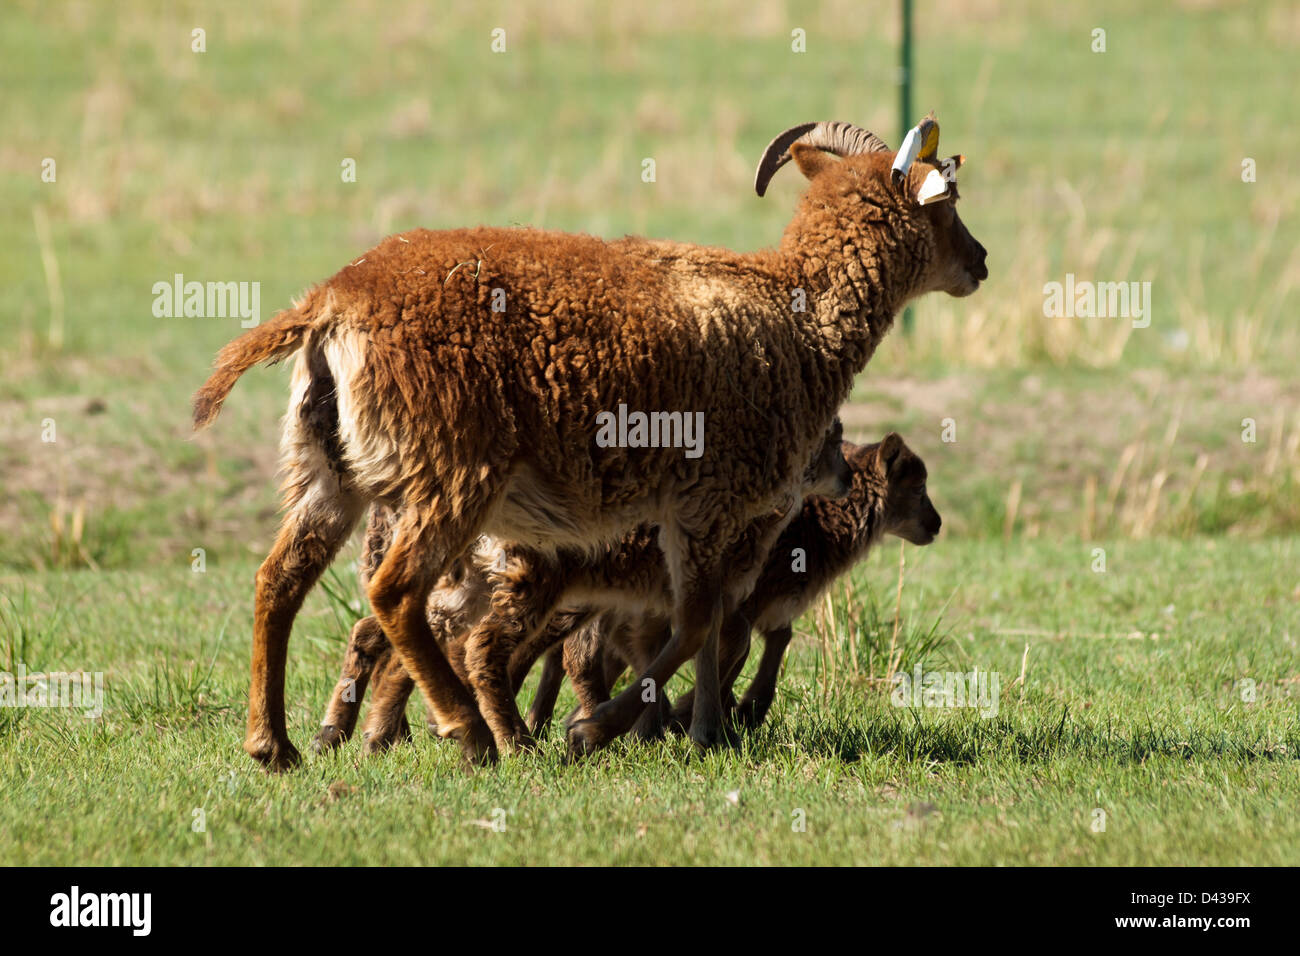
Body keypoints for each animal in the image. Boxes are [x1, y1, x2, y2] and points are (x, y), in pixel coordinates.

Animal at [193, 116, 987, 770]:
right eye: (946, 203)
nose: (979, 260)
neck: (795, 317)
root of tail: (329, 307)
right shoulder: (708, 505)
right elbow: (694, 627)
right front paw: (599, 730)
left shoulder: (695, 519)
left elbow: (705, 633)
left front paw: (700, 732)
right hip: (451, 471)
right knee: (395, 593)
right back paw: (473, 735)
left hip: (330, 471)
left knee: (278, 580)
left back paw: (275, 745)